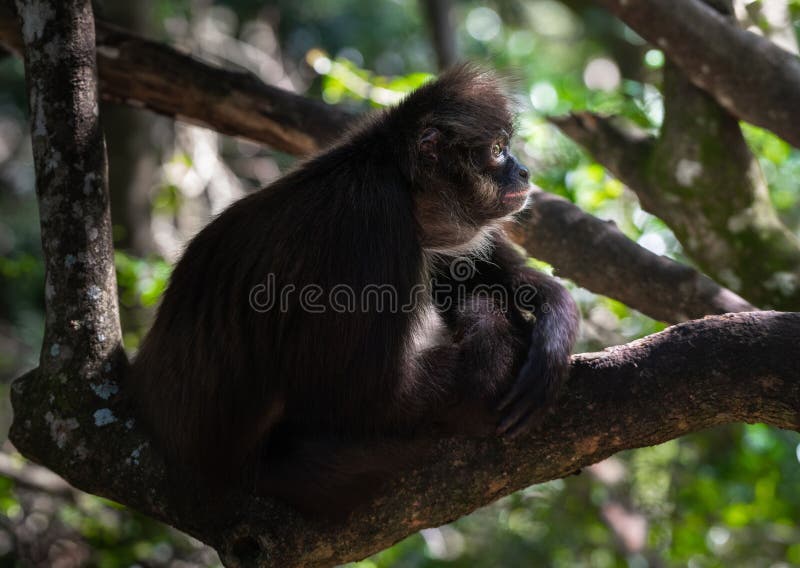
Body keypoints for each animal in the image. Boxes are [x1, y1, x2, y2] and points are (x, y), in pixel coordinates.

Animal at [127, 64, 579, 516]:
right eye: (499, 150)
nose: (523, 172)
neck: (391, 173)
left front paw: (553, 313)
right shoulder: (374, 222)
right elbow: (363, 400)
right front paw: (495, 340)